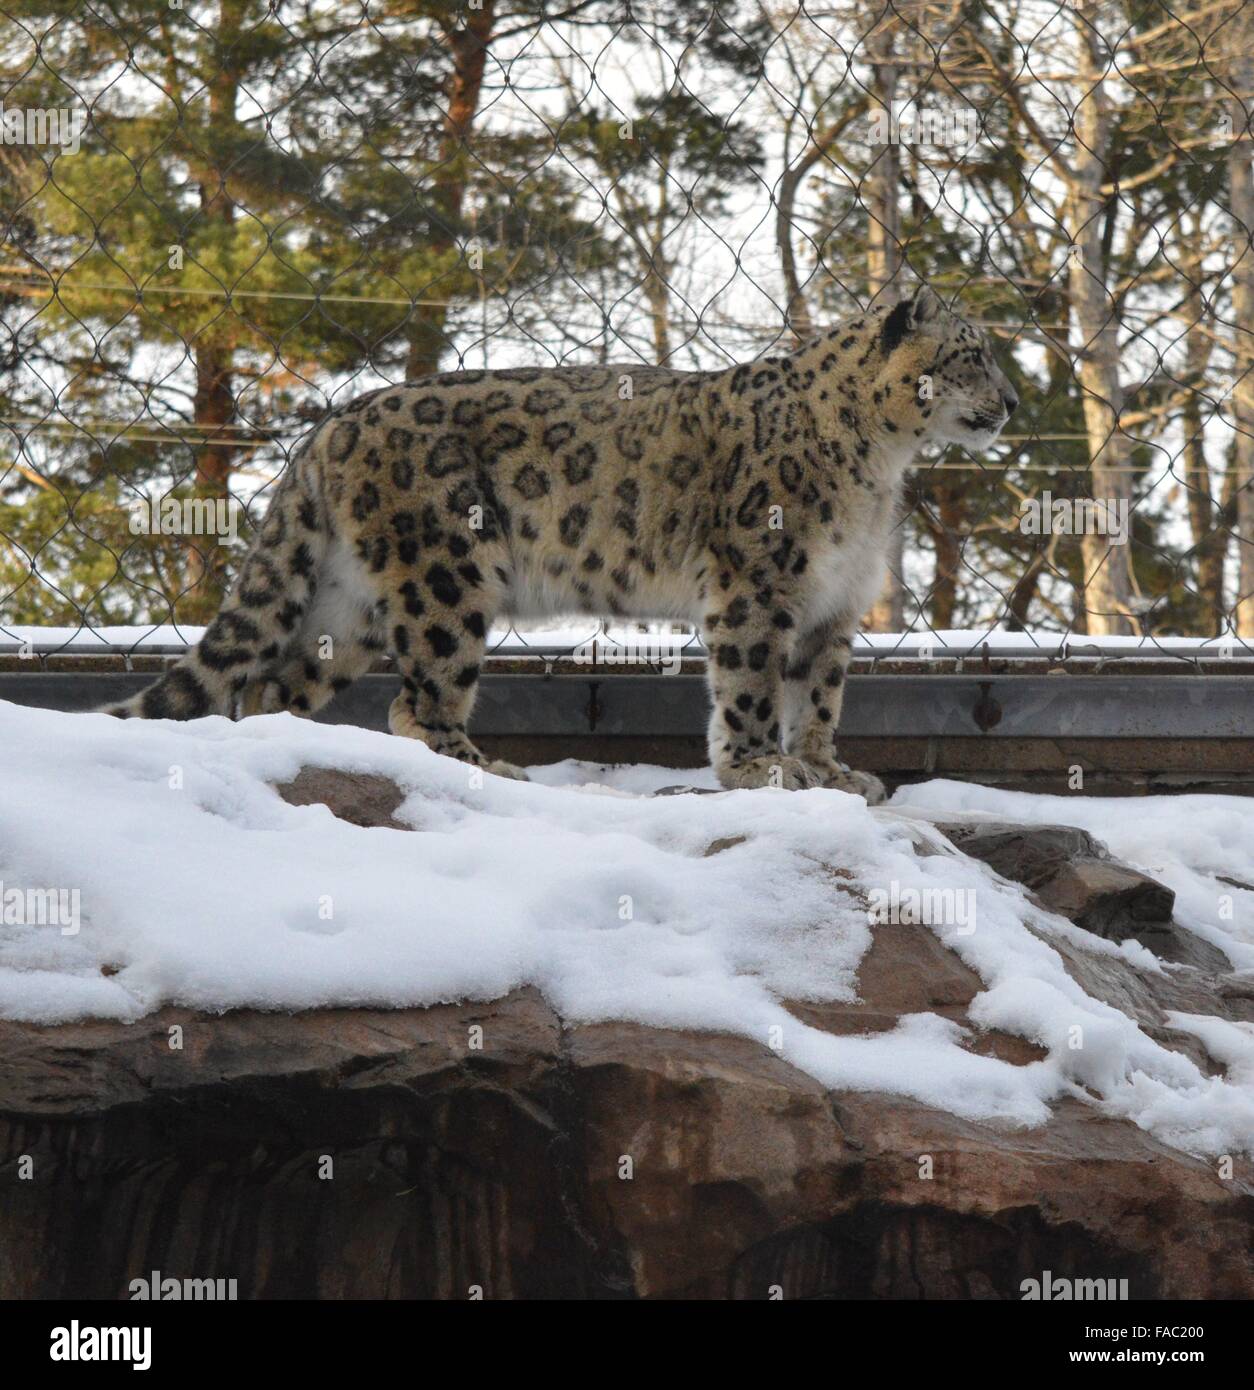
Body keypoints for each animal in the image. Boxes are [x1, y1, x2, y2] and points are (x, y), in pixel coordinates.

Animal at [102, 285, 1017, 801]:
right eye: (971, 353)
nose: (1010, 403)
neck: (883, 464)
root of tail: (333, 423)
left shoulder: (833, 605)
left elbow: (820, 698)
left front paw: (830, 771)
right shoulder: (758, 585)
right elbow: (753, 688)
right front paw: (762, 769)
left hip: (349, 603)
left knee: (272, 683)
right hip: (446, 575)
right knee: (419, 699)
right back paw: (488, 767)